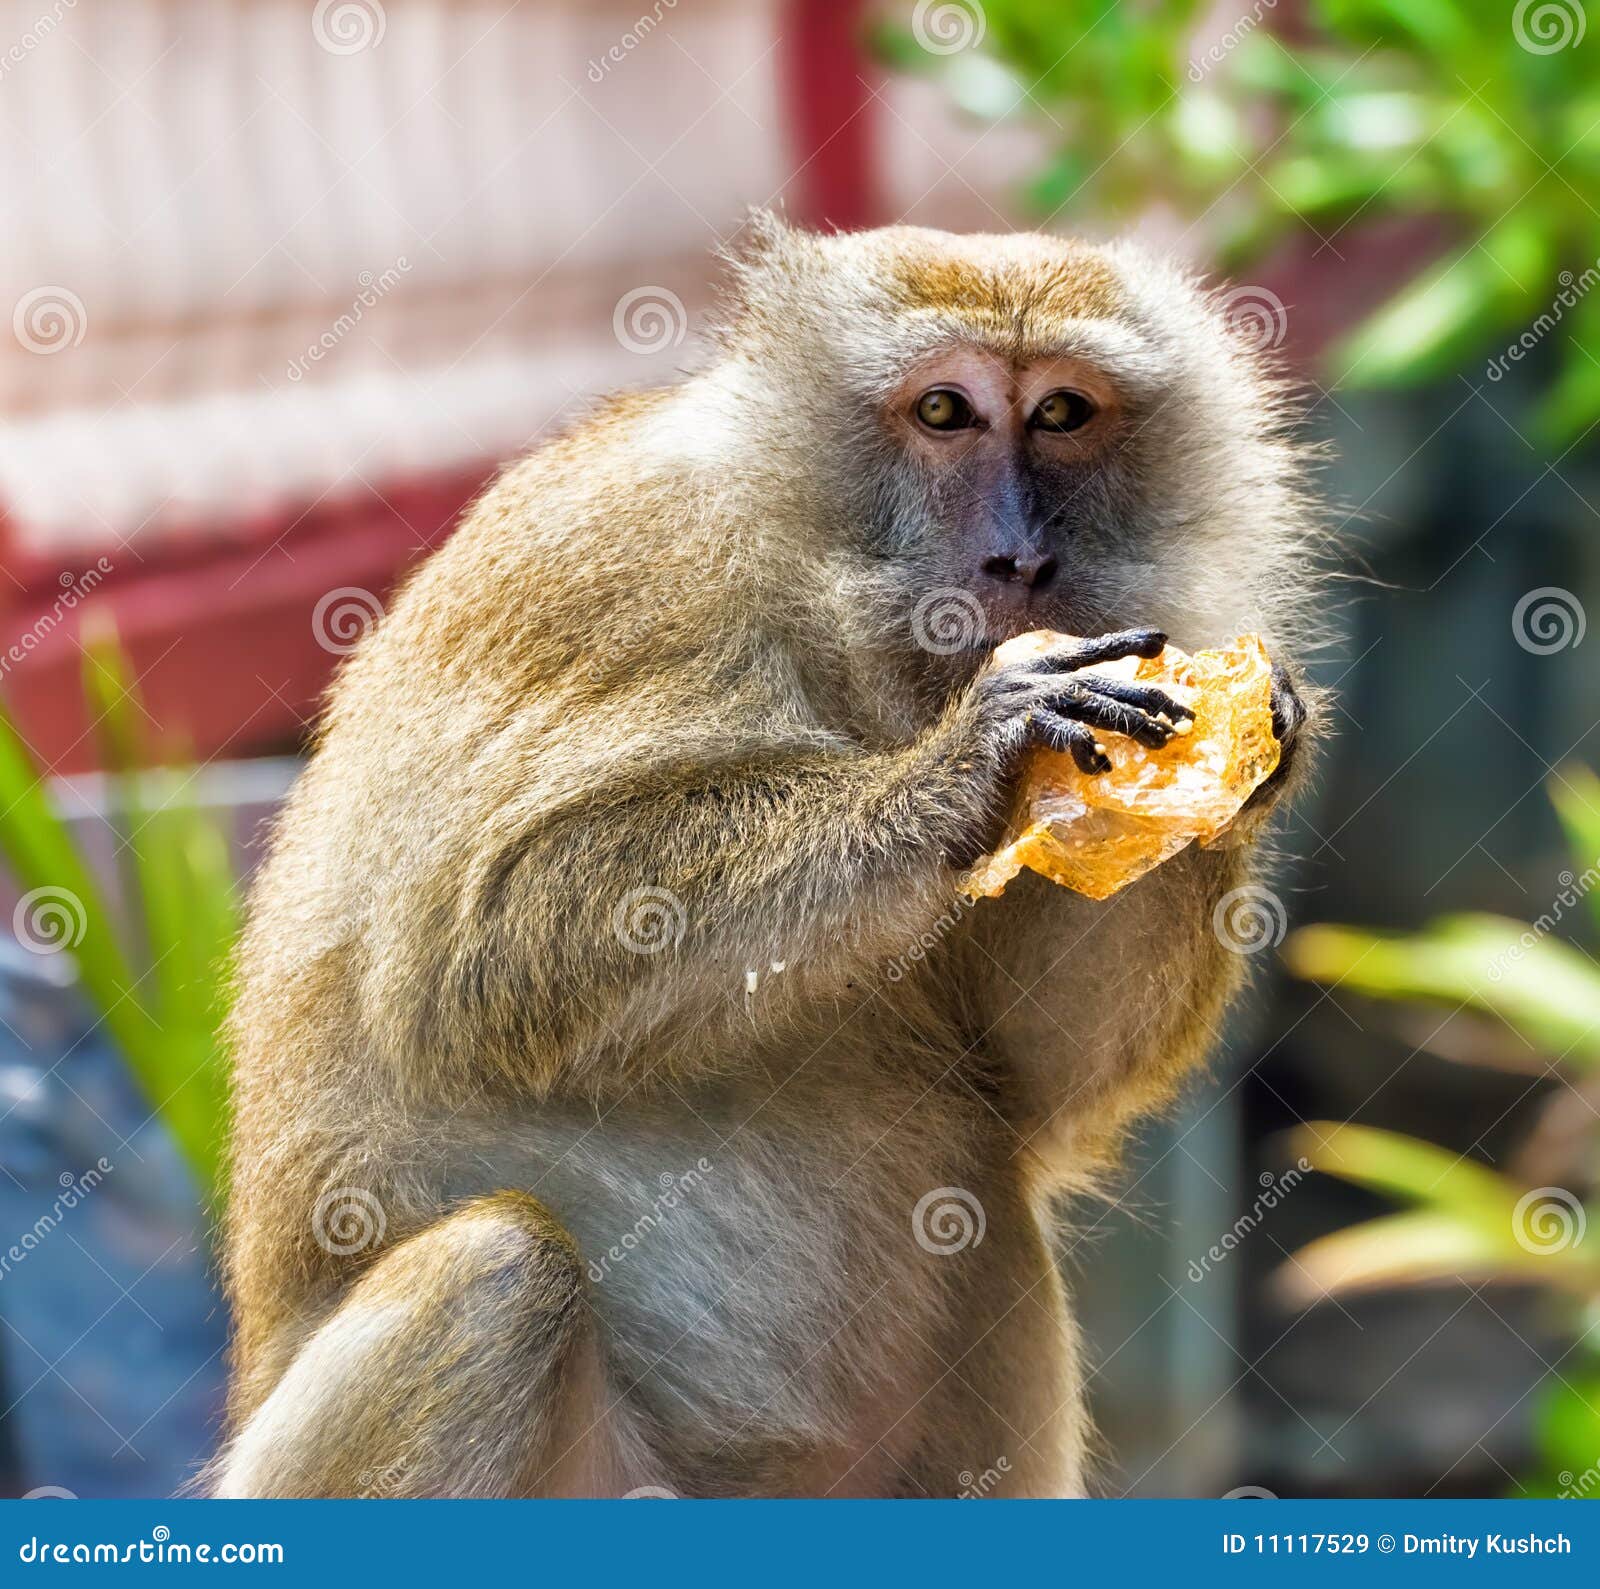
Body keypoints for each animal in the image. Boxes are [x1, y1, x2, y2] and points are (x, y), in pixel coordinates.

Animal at [210, 213, 1322, 1499]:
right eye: (943, 411)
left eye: (1060, 413)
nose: (1018, 559)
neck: (814, 594)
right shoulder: (626, 576)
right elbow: (474, 946)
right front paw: (963, 764)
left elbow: (1033, 1079)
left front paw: (1244, 746)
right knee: (493, 1273)